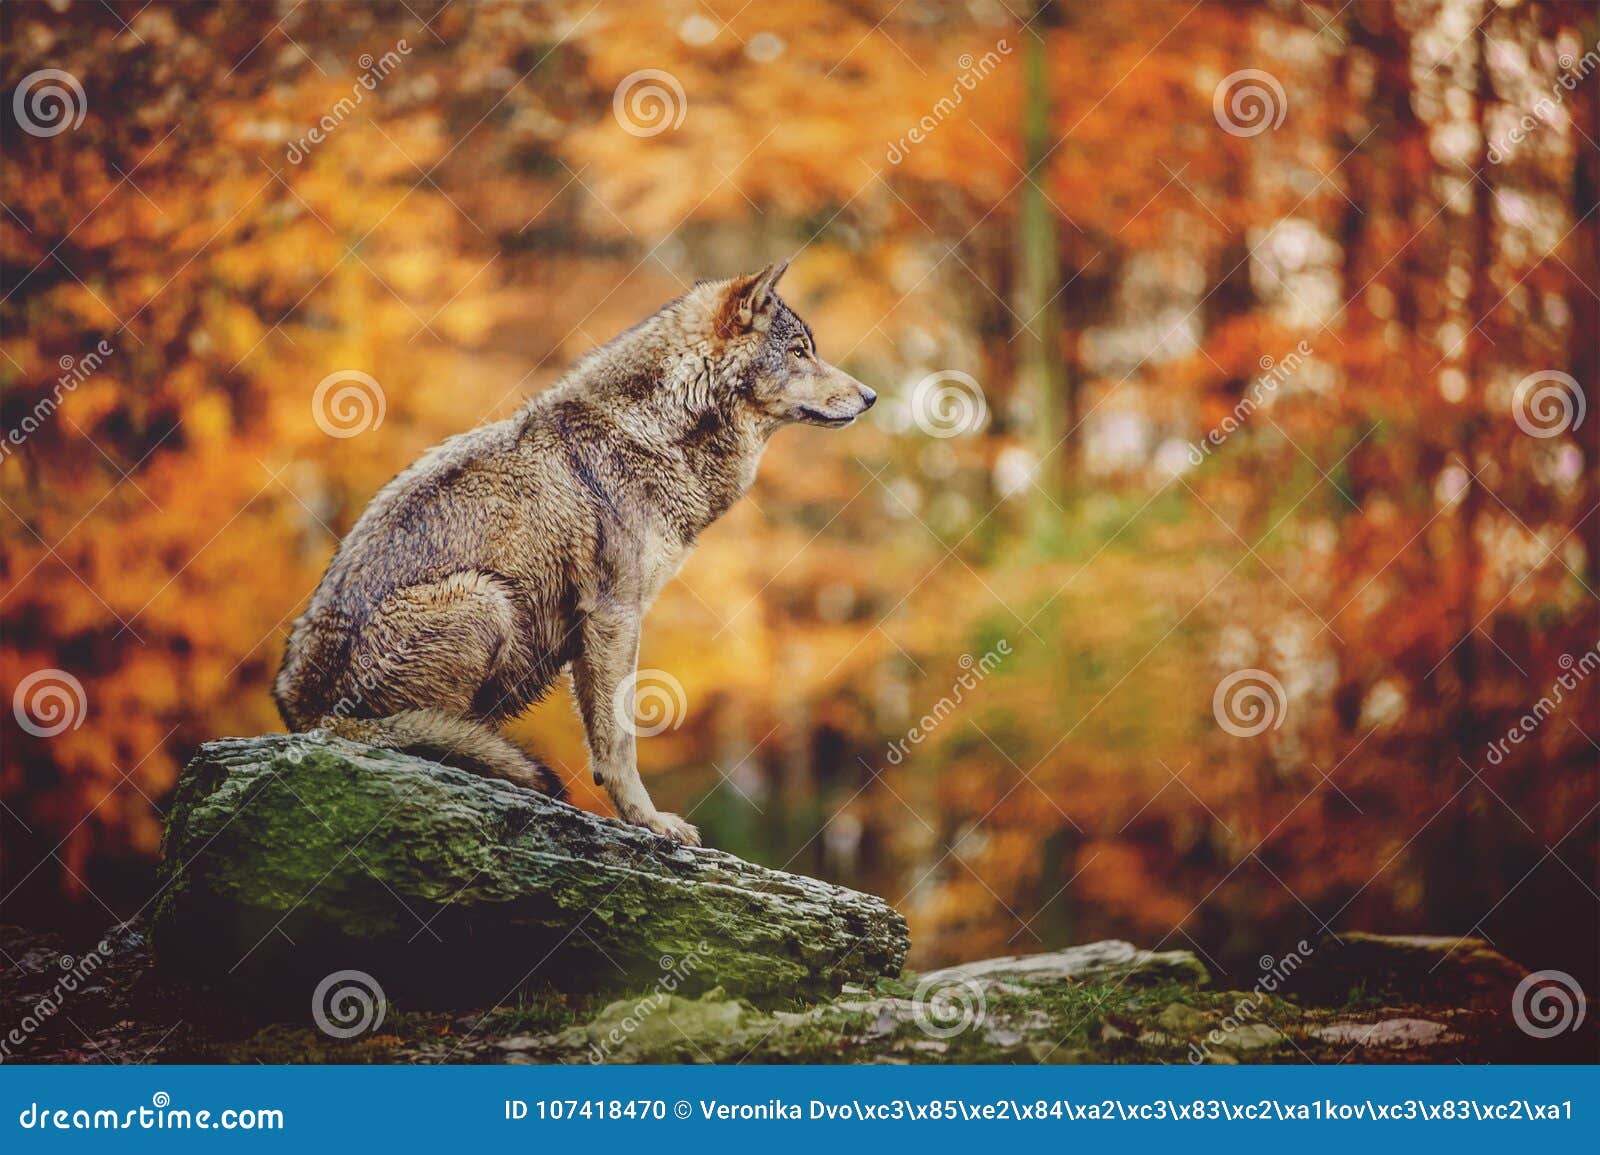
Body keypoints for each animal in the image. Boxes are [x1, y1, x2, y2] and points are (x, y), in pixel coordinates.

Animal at [274, 262, 875, 845]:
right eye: (799, 351)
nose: (870, 397)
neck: (655, 431)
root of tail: (309, 716)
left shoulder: (599, 628)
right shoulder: (615, 614)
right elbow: (618, 741)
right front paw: (650, 823)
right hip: (485, 598)